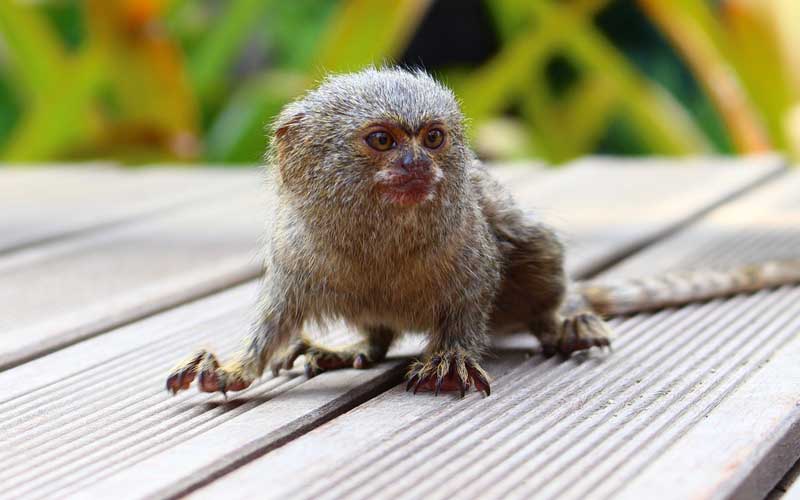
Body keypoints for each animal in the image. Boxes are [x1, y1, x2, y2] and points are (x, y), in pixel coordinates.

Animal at [165, 67, 800, 399]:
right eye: (382, 140)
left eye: (433, 137)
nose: (418, 164)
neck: (380, 240)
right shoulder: (296, 259)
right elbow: (273, 326)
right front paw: (236, 368)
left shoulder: (470, 248)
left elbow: (469, 303)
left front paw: (449, 358)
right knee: (378, 334)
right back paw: (349, 351)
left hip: (531, 254)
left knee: (538, 257)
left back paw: (564, 321)